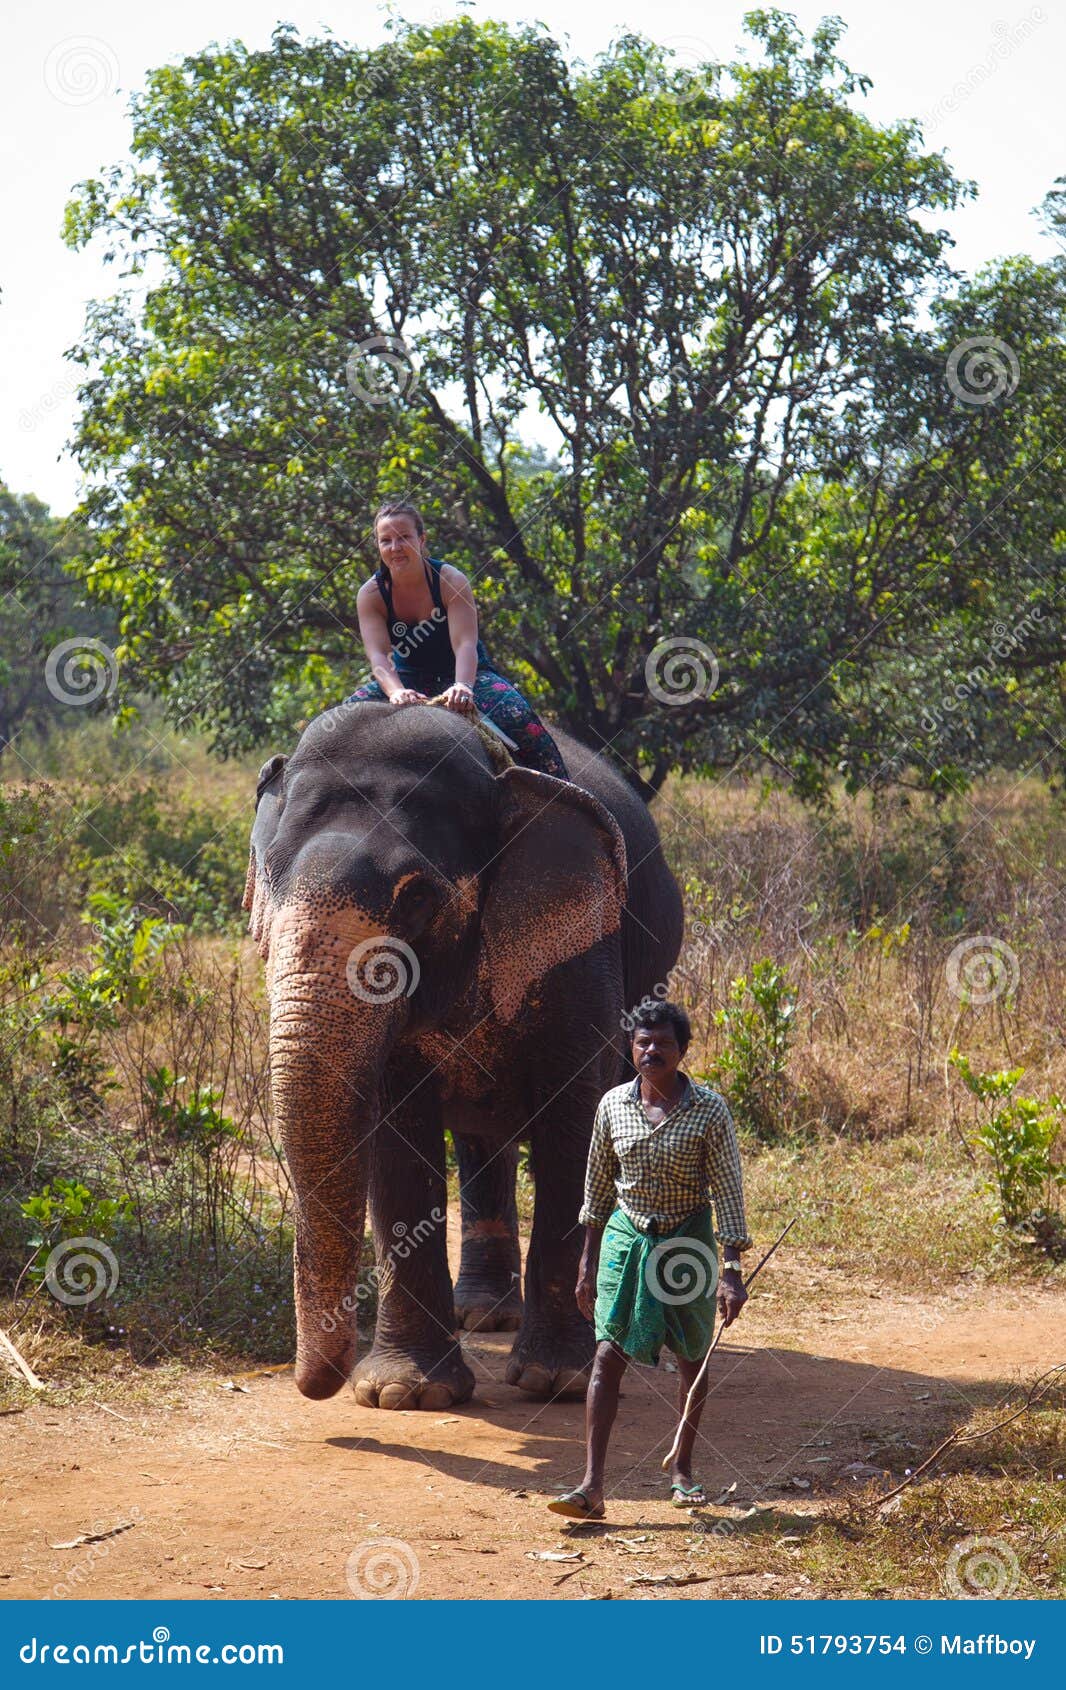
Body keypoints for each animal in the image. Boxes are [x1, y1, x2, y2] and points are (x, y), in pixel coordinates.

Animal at [243, 699, 683, 1410]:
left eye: (418, 896)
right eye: (267, 885)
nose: (314, 1387)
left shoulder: (584, 945)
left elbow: (576, 1117)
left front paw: (556, 1381)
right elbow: (398, 1133)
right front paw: (404, 1394)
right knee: (481, 1139)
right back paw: (482, 1315)